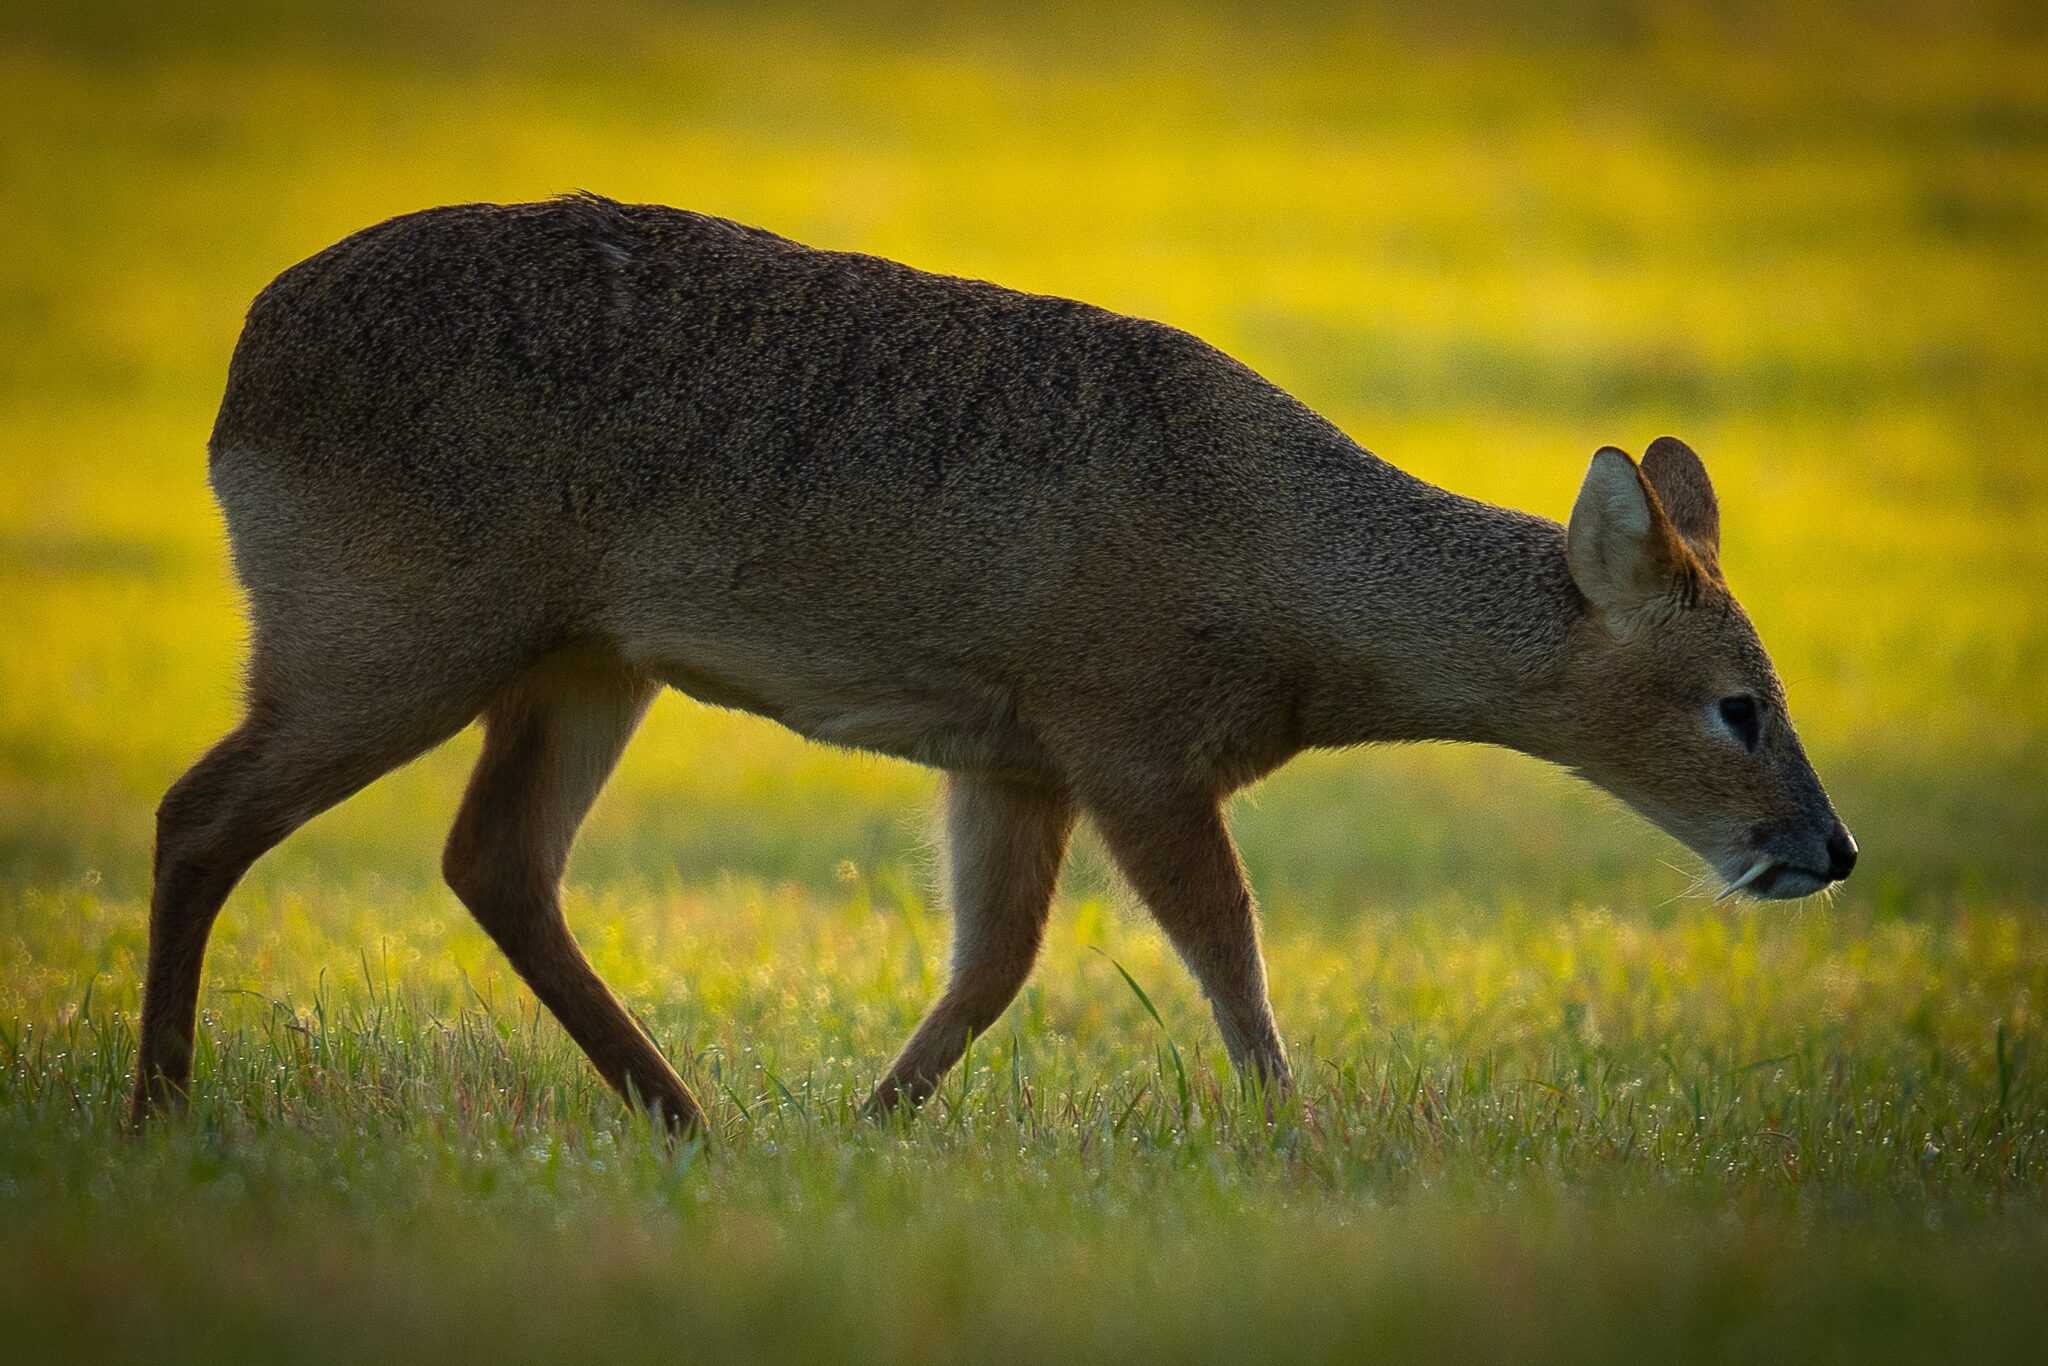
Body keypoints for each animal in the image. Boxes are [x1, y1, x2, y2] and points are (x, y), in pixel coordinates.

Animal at [131, 193, 1858, 1134]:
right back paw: (159, 1109)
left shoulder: (1014, 749)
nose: (1830, 848)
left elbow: (993, 963)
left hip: (579, 659)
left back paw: (690, 1119)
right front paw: (1299, 1137)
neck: (1290, 579)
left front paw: (867, 1128)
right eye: (1738, 705)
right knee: (199, 813)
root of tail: (235, 380)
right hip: (385, 625)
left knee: (493, 859)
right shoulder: (1128, 727)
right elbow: (1230, 951)